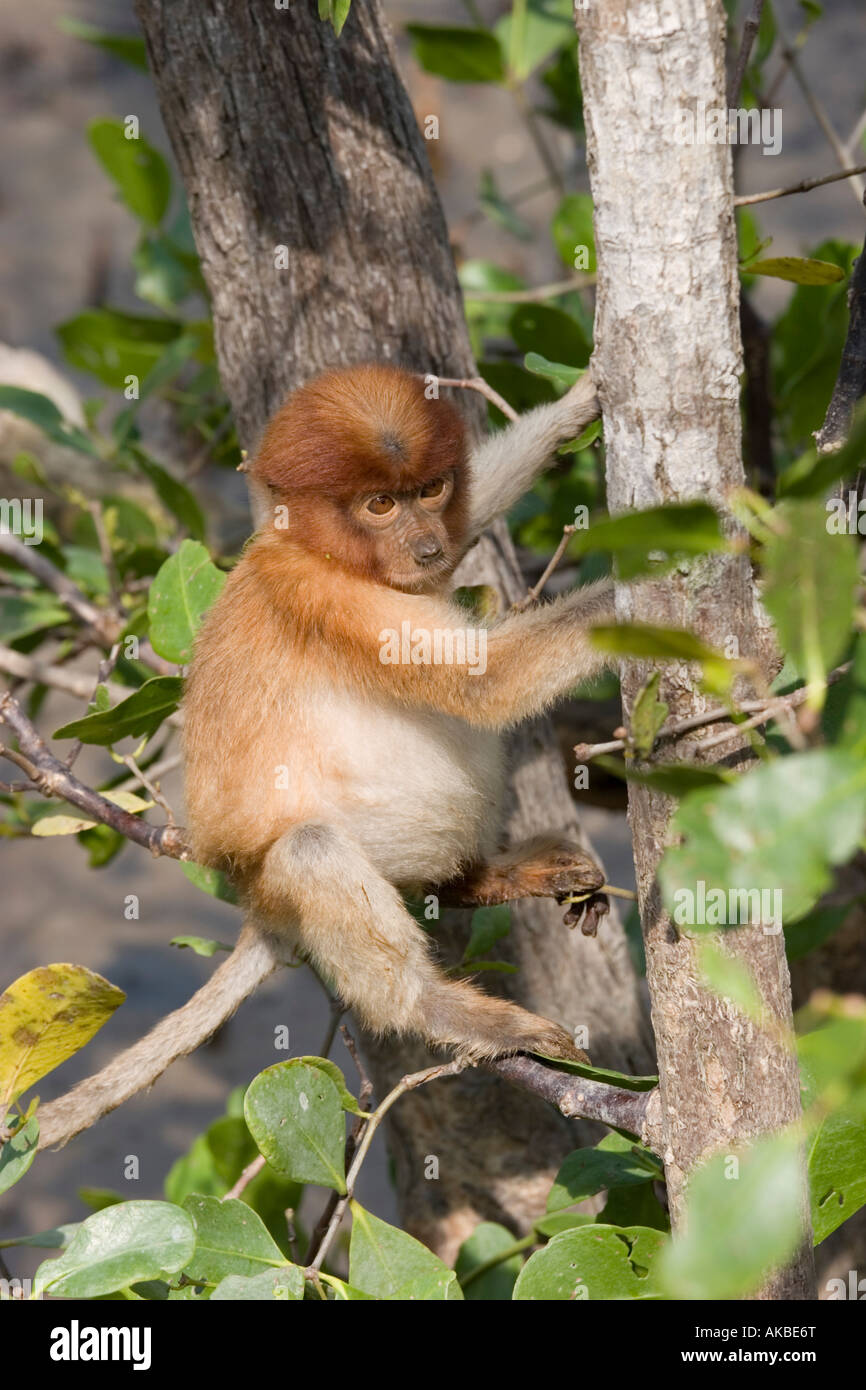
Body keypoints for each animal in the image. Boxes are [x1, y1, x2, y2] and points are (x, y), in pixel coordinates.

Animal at [35, 363, 613, 1150]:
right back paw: (435, 1007)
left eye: (430, 490)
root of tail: (253, 901)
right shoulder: (327, 593)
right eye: (379, 504)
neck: (321, 548)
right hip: (289, 872)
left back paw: (477, 879)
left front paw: (580, 400)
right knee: (311, 848)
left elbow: (480, 519)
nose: (427, 549)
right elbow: (487, 681)